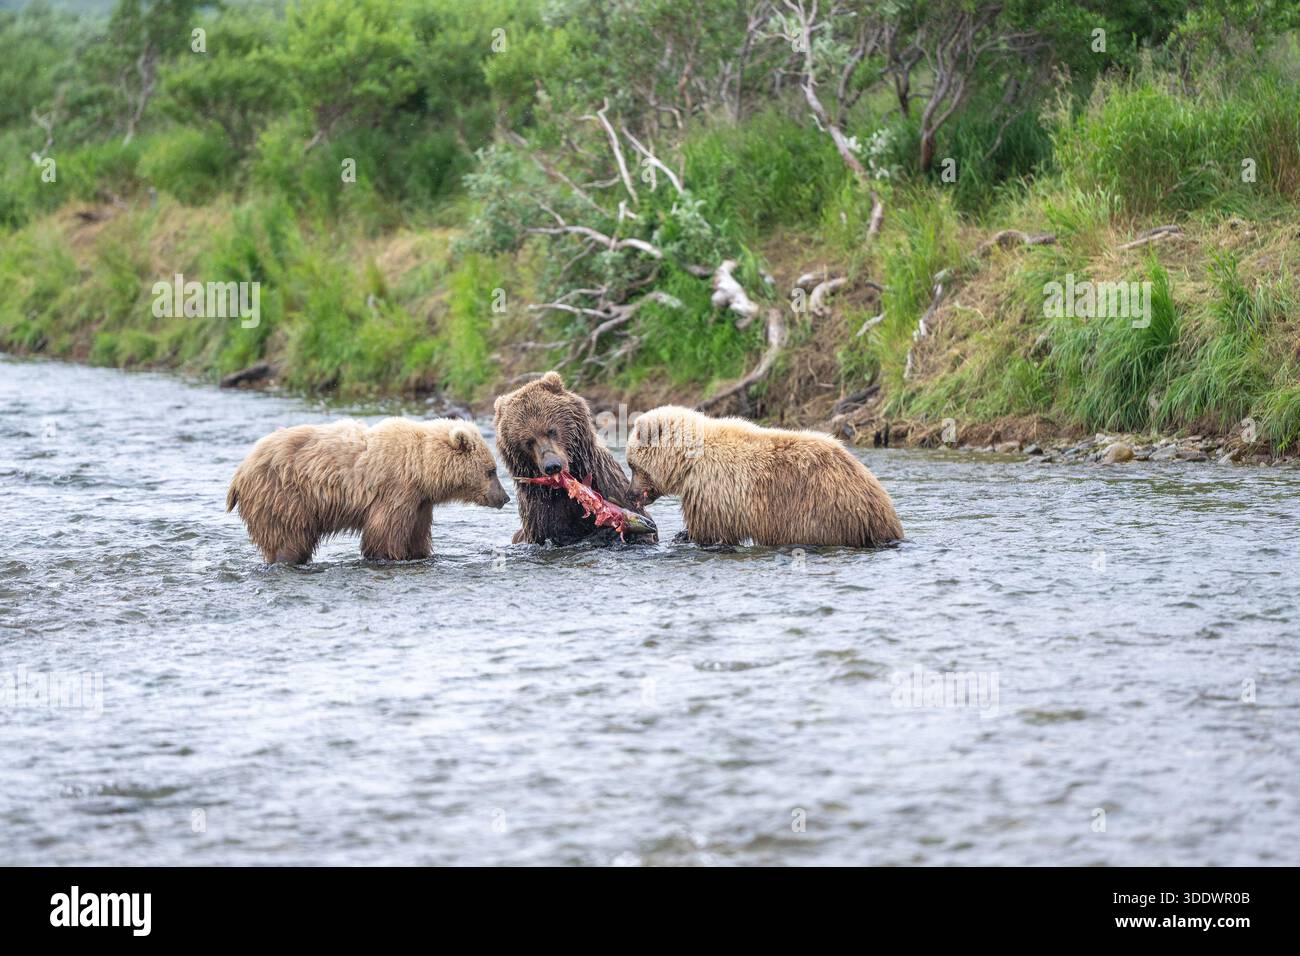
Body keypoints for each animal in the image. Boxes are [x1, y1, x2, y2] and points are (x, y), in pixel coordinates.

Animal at [226, 417, 509, 563]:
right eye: (491, 470)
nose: (504, 497)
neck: (421, 469)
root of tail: (239, 472)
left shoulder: (420, 502)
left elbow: (417, 535)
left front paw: (421, 554)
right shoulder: (395, 491)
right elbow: (384, 534)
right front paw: (391, 555)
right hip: (283, 495)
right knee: (290, 538)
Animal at [626, 405, 903, 547]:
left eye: (632, 466)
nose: (630, 494)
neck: (689, 462)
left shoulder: (715, 490)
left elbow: (711, 531)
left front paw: (685, 536)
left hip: (821, 512)